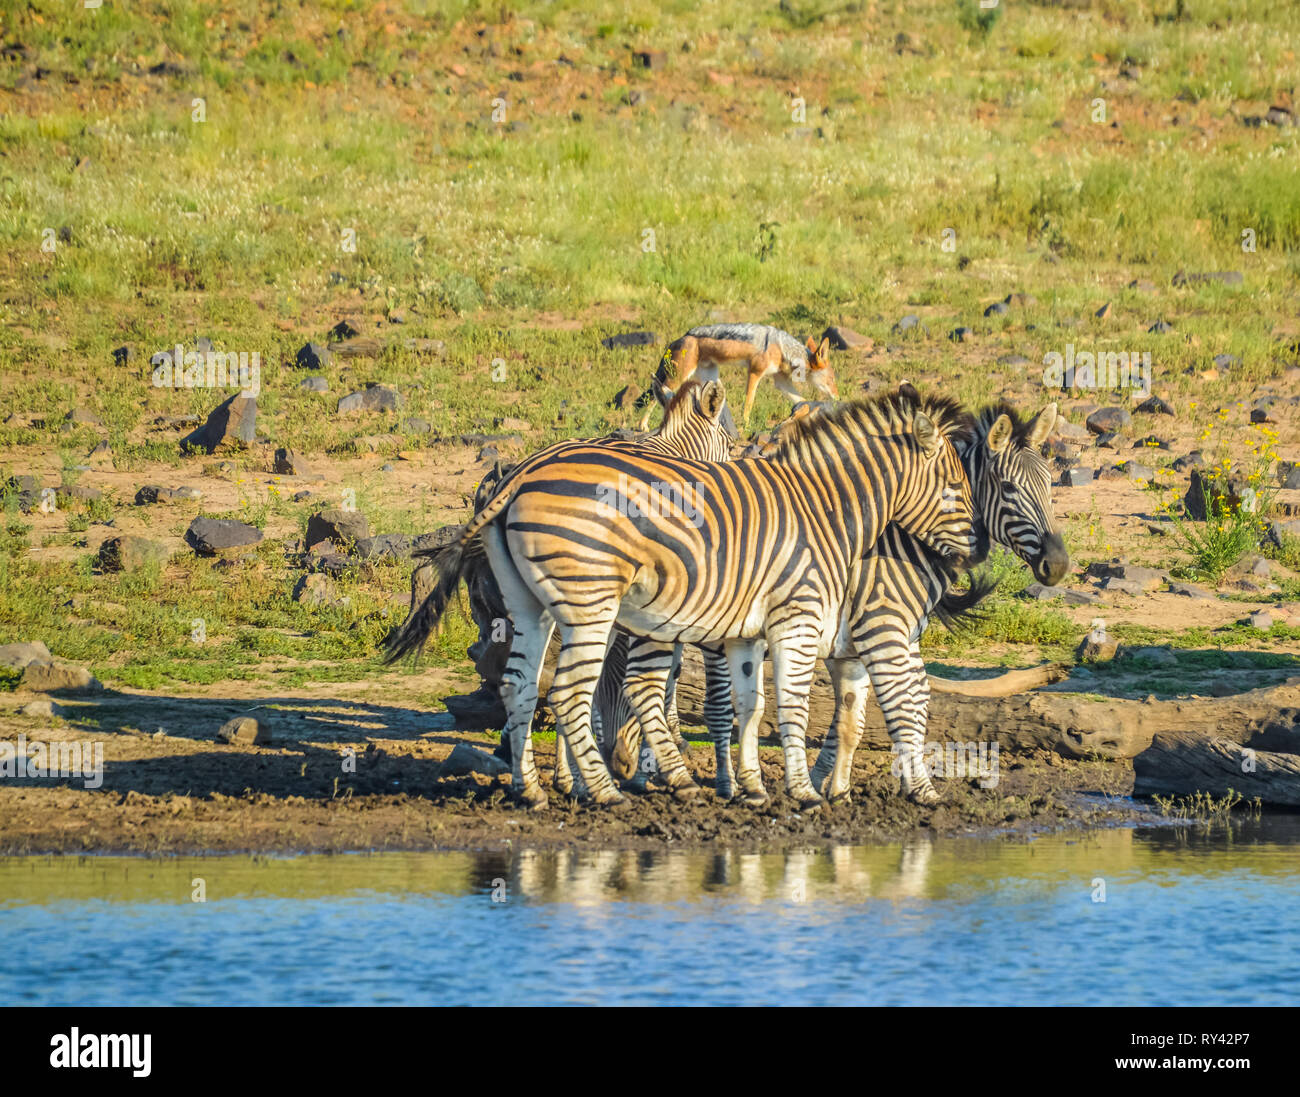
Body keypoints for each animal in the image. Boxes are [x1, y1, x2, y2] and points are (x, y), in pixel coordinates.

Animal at [387, 388, 984, 810]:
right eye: (956, 489)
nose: (977, 551)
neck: (821, 510)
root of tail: (520, 475)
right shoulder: (797, 615)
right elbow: (789, 704)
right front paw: (802, 793)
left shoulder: (745, 629)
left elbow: (747, 704)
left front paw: (751, 788)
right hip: (591, 604)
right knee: (570, 690)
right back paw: (603, 790)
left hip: (529, 605)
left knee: (520, 684)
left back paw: (531, 789)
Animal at [612, 395, 1066, 805]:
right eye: (1008, 487)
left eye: (1049, 483)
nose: (1058, 565)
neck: (900, 543)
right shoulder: (879, 629)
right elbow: (899, 704)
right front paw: (909, 788)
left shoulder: (872, 641)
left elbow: (871, 713)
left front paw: (836, 786)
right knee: (640, 688)